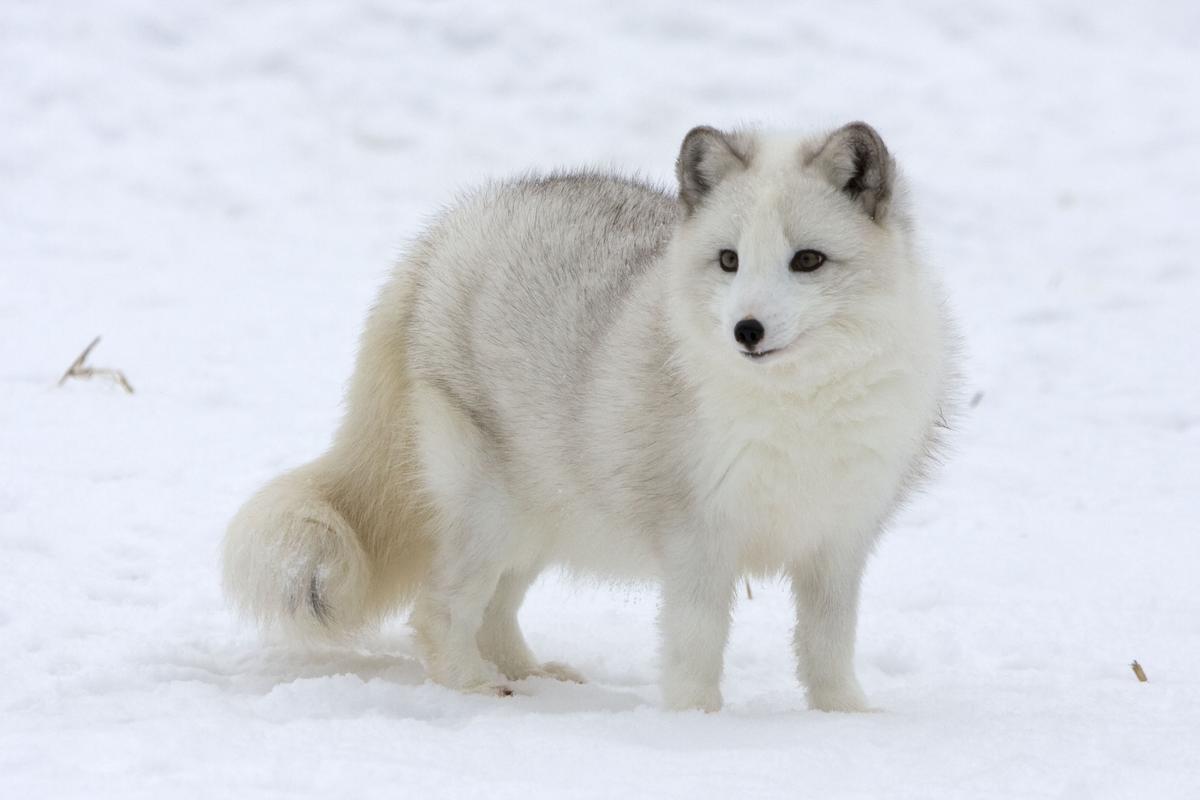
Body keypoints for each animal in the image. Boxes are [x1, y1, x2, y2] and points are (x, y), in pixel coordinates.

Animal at [223, 123, 955, 714]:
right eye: (730, 260)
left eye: (807, 260)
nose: (746, 330)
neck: (795, 408)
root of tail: (449, 227)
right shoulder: (698, 540)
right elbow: (697, 645)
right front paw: (697, 723)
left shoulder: (838, 543)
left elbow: (828, 647)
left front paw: (845, 719)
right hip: (491, 512)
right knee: (440, 607)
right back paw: (475, 686)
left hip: (541, 516)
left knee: (495, 611)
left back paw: (532, 674)